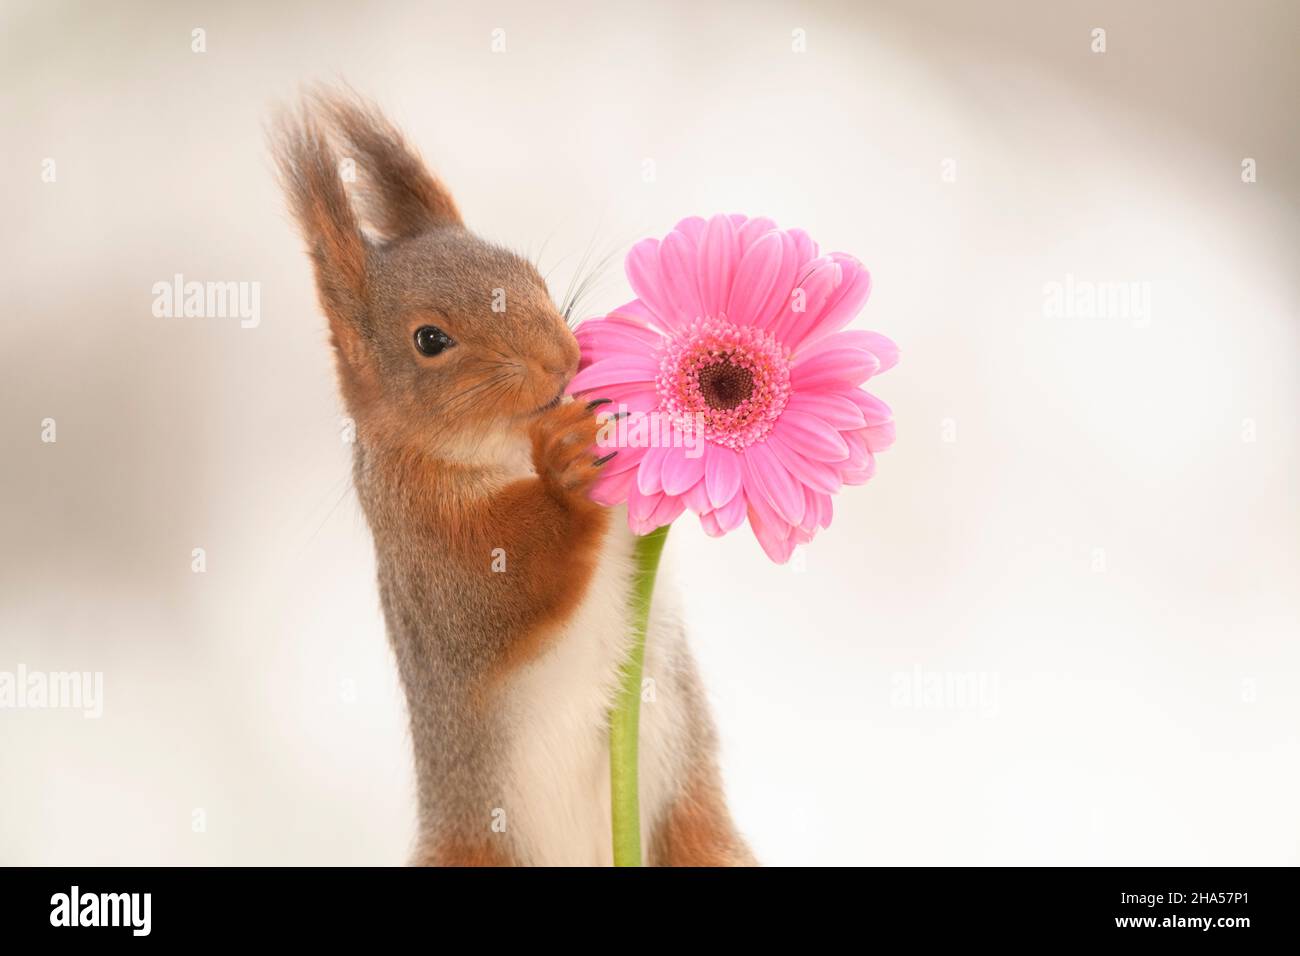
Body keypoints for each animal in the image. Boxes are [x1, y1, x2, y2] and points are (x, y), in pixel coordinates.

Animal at [272, 90, 754, 865]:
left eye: (528, 271)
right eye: (430, 340)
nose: (564, 358)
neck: (506, 450)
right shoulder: (428, 553)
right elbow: (506, 586)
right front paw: (565, 466)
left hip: (694, 829)